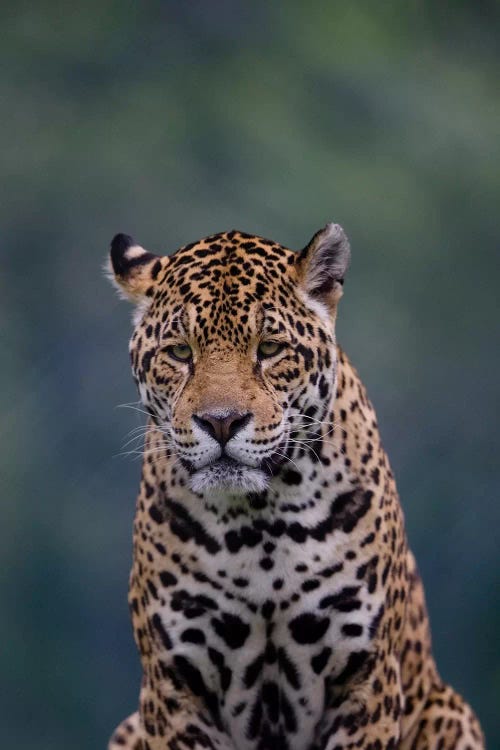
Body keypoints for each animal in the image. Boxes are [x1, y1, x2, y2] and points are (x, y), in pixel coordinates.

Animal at [106, 223, 484, 750]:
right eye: (180, 352)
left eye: (269, 349)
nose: (221, 422)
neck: (258, 521)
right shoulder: (175, 685)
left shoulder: (364, 676)